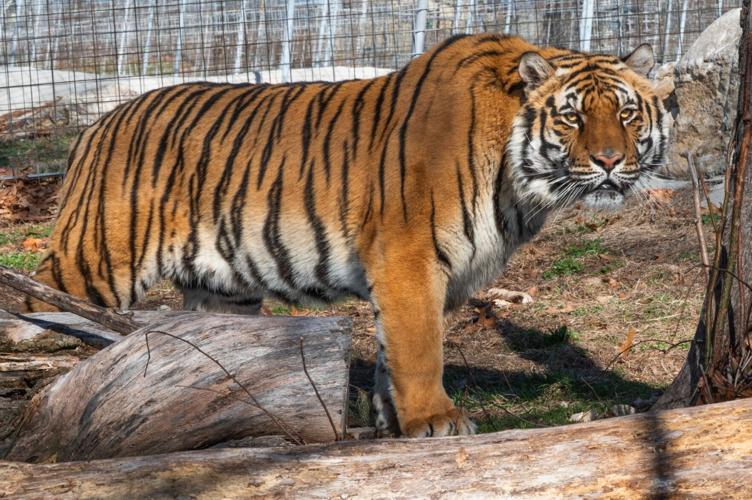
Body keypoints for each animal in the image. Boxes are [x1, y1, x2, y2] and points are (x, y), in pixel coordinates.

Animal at [25, 34, 670, 438]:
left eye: (627, 113)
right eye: (572, 116)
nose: (611, 161)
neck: (519, 184)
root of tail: (96, 126)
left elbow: (395, 348)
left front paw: (392, 424)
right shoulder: (408, 255)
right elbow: (419, 347)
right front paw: (435, 419)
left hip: (223, 290)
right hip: (93, 263)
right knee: (40, 311)